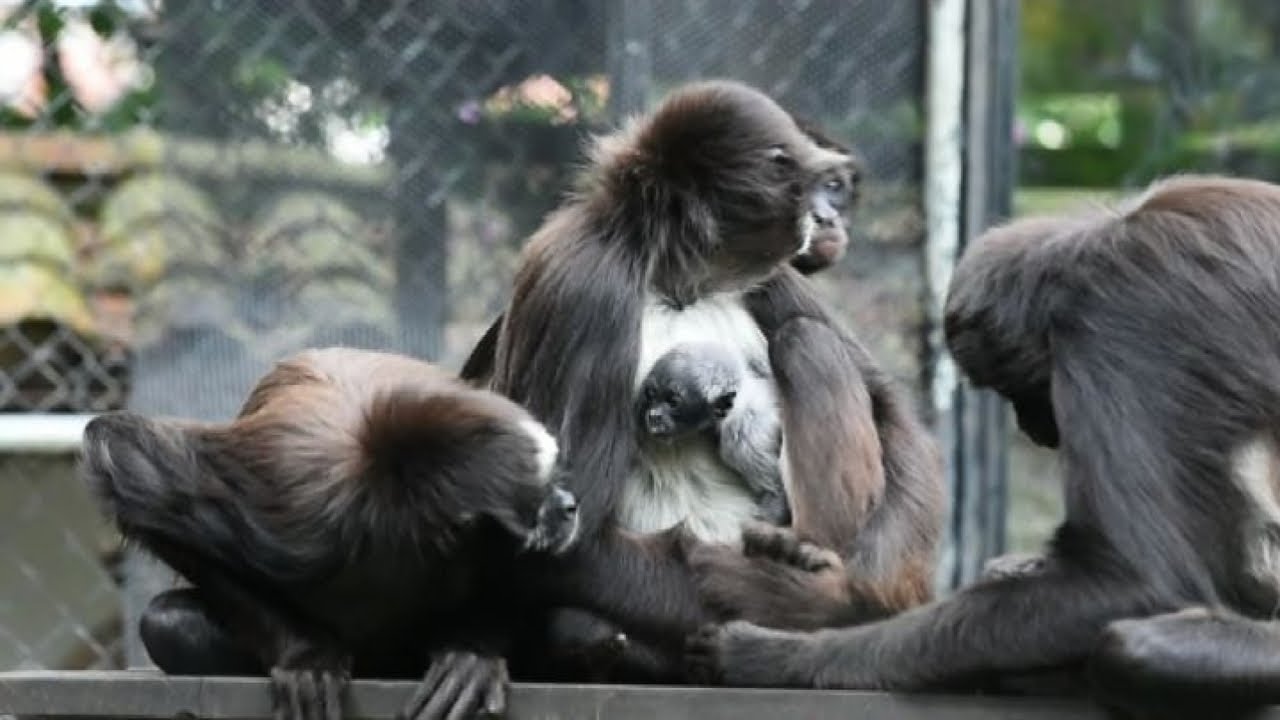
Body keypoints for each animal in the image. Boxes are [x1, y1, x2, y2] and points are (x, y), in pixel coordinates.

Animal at [81, 347, 581, 720]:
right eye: (544, 496)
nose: (569, 505)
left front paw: (471, 652)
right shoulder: (300, 496)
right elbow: (123, 460)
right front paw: (307, 657)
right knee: (168, 623)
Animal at [685, 174, 1280, 711]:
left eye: (1016, 389)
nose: (1030, 424)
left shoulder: (1115, 320)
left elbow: (1136, 582)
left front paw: (777, 654)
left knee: (1128, 645)